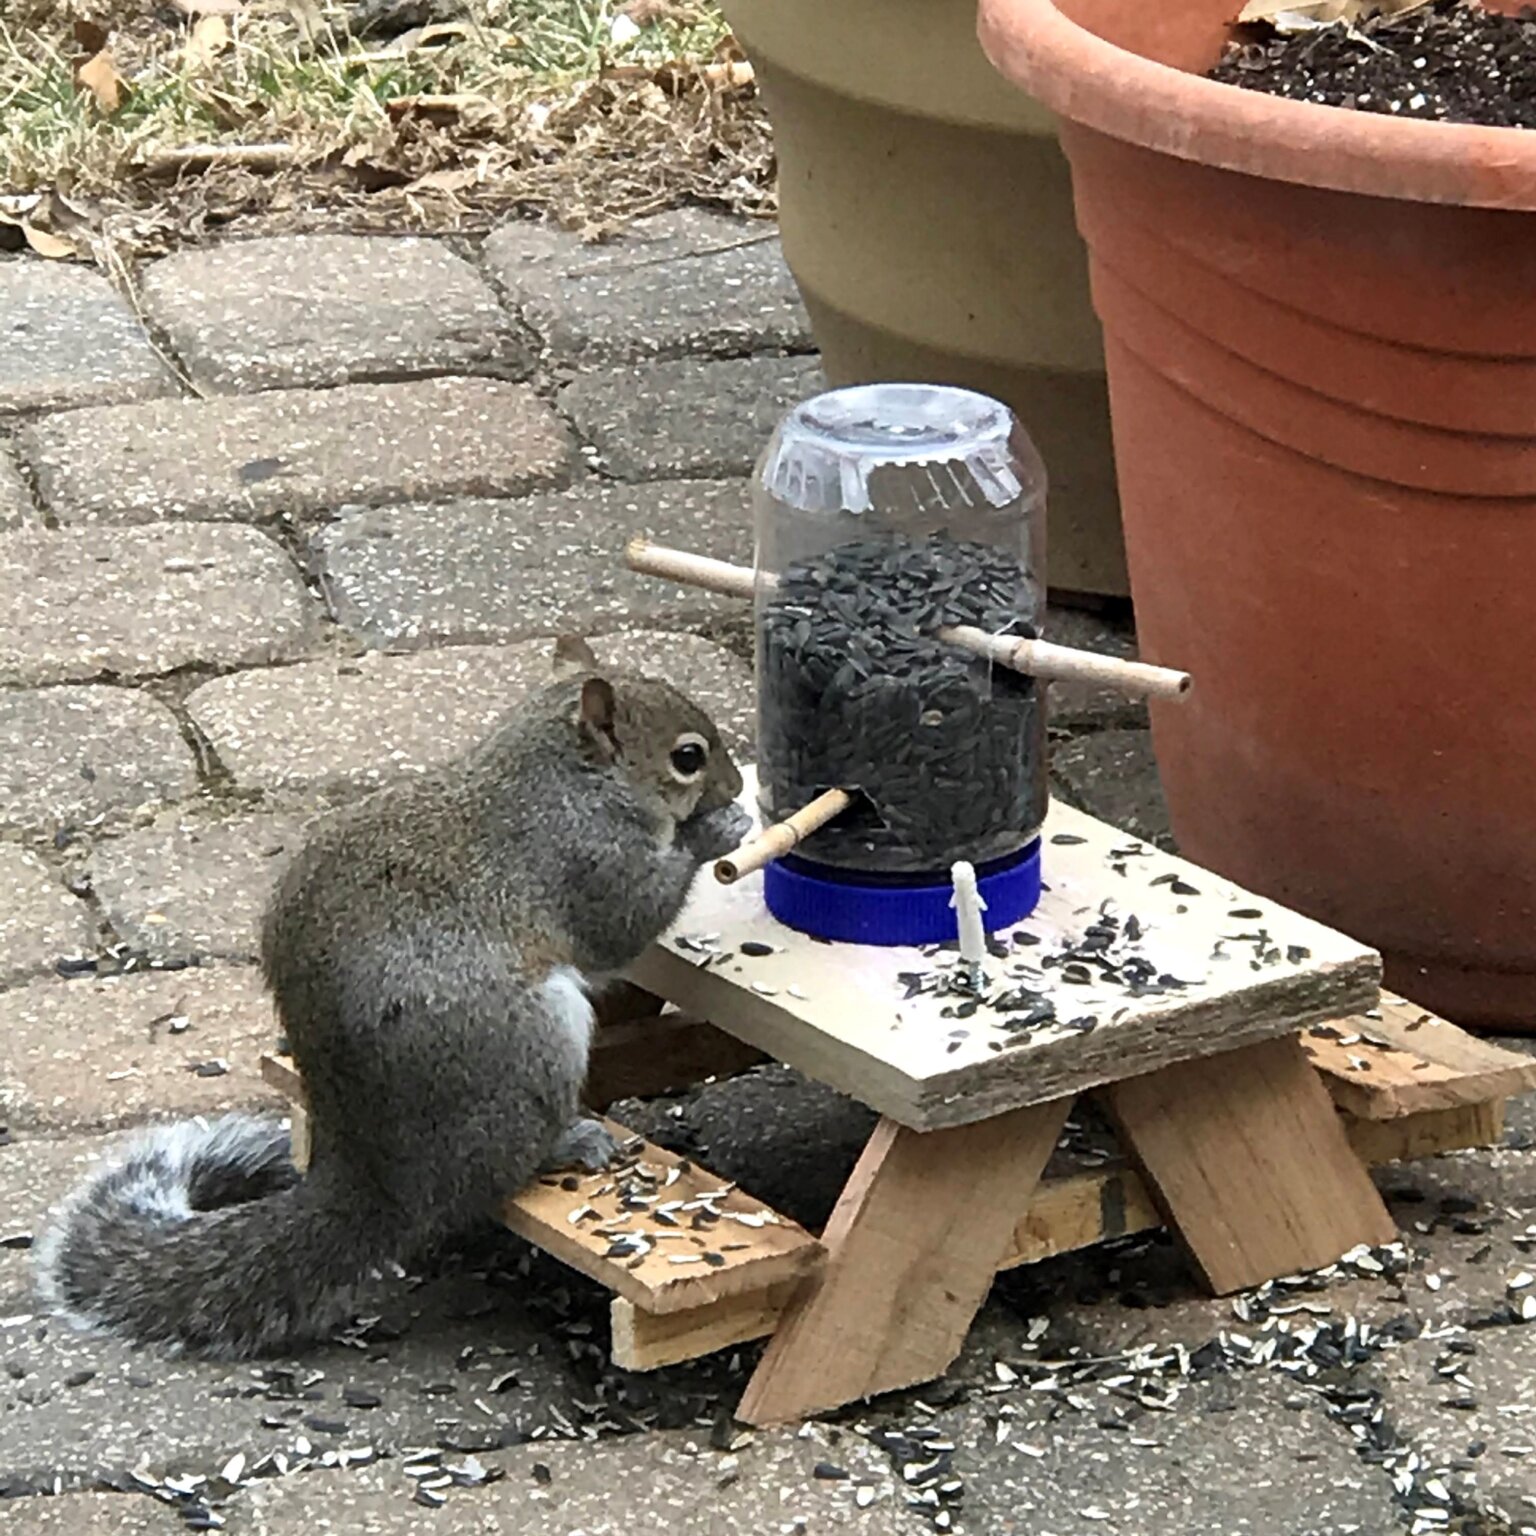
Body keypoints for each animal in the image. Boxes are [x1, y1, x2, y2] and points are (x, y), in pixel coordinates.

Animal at [35, 636, 750, 1358]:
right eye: (688, 757)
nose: (737, 787)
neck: (567, 778)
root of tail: (377, 1175)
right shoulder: (585, 860)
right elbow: (624, 923)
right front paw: (716, 832)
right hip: (530, 1043)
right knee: (491, 1175)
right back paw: (571, 1142)